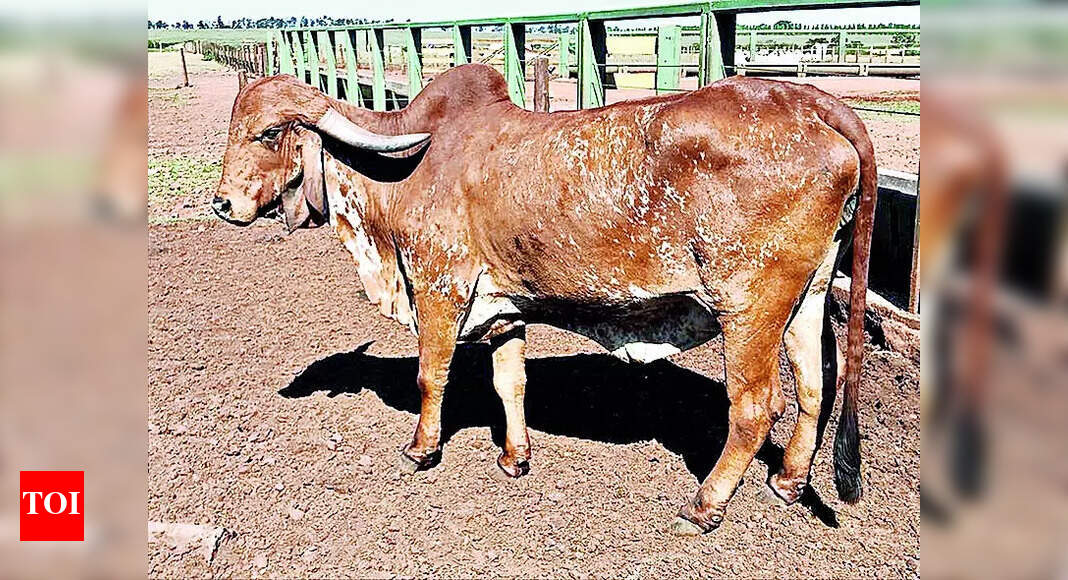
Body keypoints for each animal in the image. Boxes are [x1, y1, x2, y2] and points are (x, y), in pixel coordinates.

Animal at [211, 64, 877, 535]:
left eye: (269, 134)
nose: (222, 204)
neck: (401, 167)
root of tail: (811, 103)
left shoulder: (439, 289)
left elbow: (431, 376)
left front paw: (422, 450)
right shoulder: (503, 310)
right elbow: (511, 383)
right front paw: (514, 457)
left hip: (749, 304)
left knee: (755, 406)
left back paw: (705, 504)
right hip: (807, 296)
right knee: (814, 386)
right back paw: (788, 481)